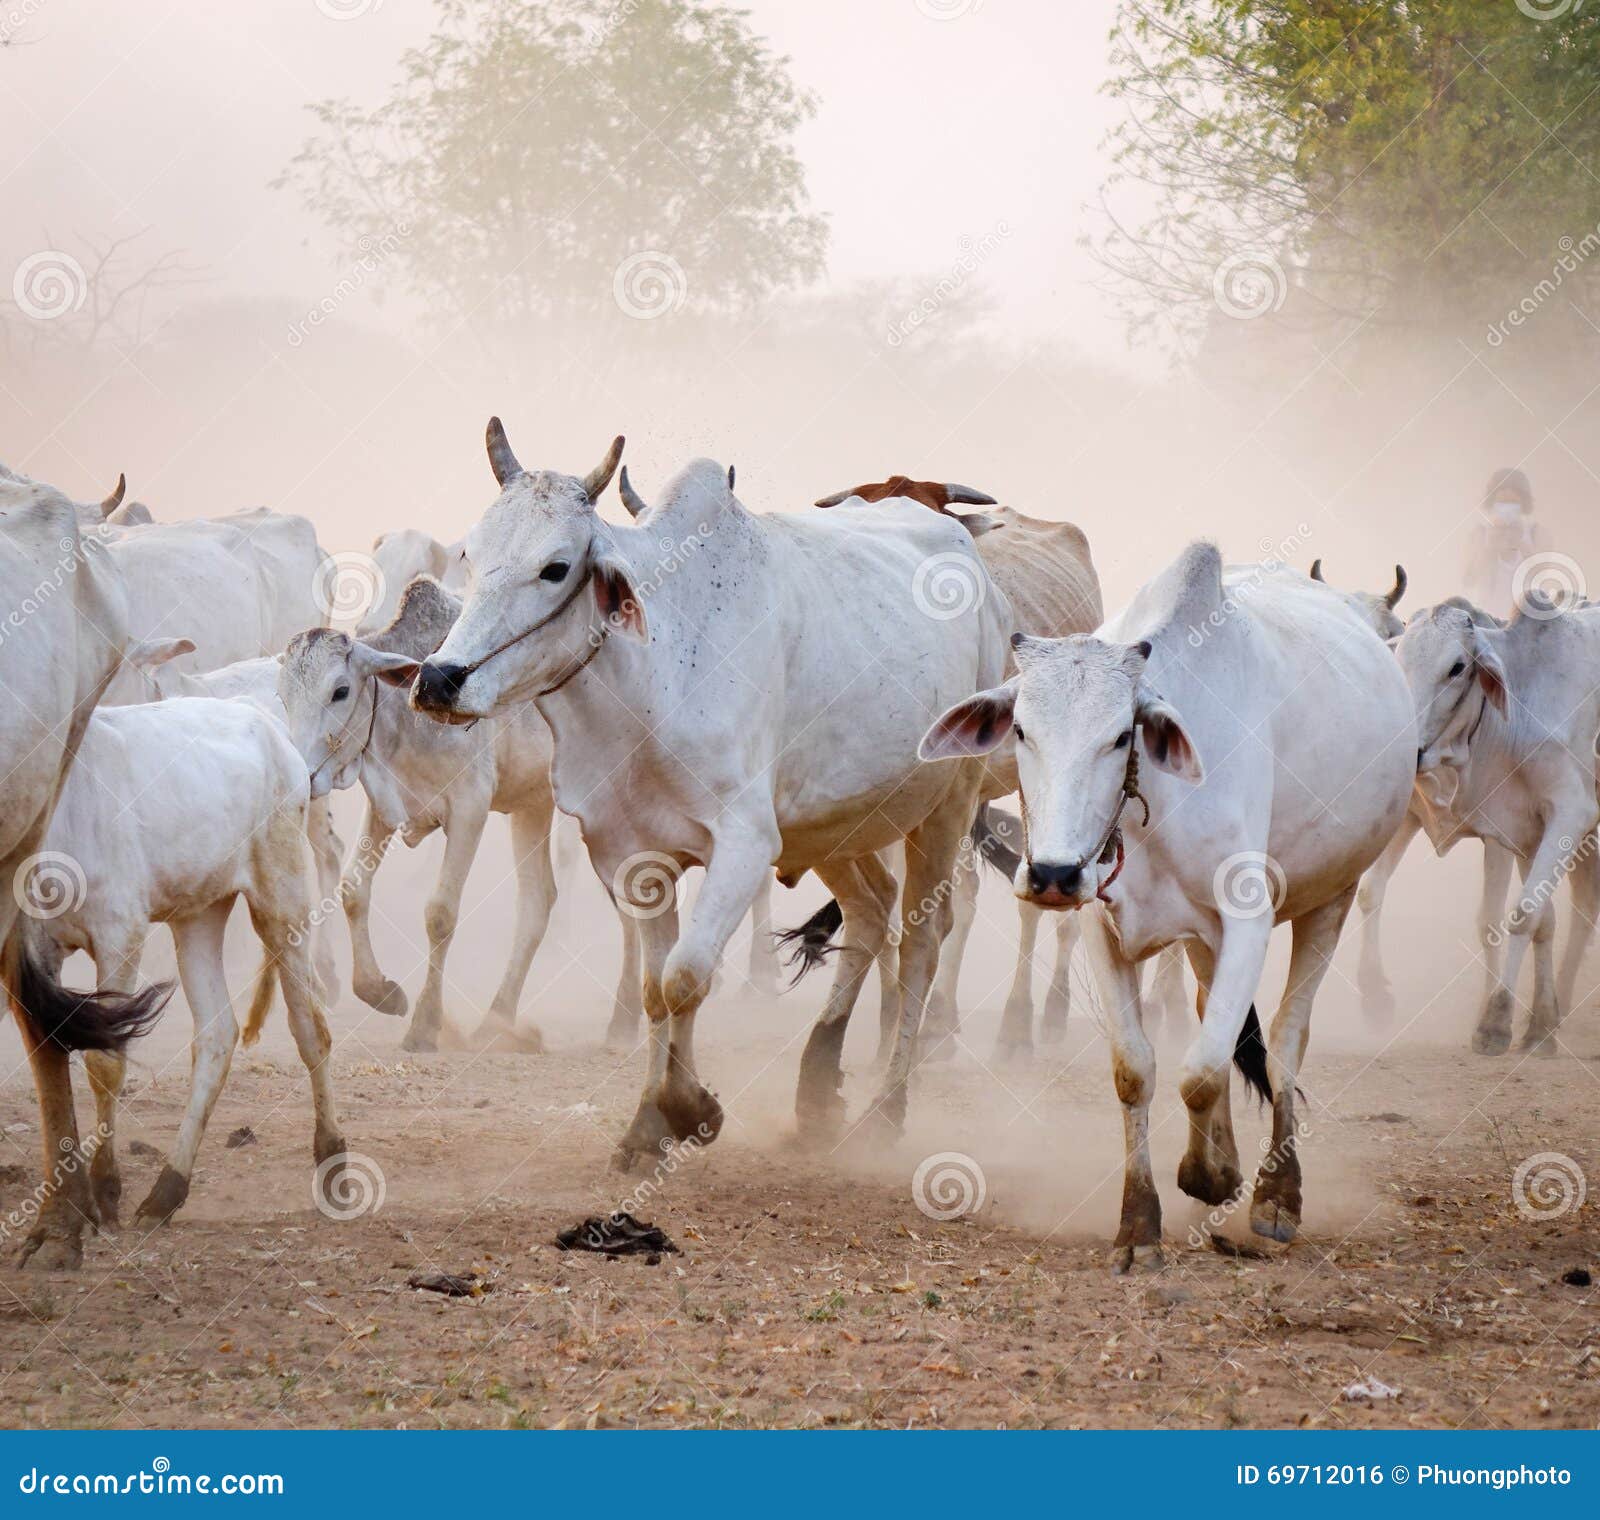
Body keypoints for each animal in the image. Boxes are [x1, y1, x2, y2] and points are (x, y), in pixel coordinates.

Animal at [34, 682, 349, 1224]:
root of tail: (266, 722)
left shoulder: (121, 933)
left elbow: (104, 1063)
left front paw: (106, 1185)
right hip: (197, 915)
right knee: (218, 1034)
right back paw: (168, 1187)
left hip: (282, 900)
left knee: (311, 1029)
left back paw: (331, 1155)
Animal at [404, 421, 1011, 1167]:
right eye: (471, 553)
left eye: (555, 567)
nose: (439, 679)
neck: (651, 671)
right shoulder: (630, 854)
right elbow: (654, 989)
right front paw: (648, 1123)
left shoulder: (745, 844)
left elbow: (686, 976)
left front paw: (690, 1108)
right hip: (833, 825)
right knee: (872, 911)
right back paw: (816, 1086)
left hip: (947, 803)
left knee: (922, 937)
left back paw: (885, 1111)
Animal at [920, 543, 1416, 1269]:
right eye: (1020, 731)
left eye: (1122, 736)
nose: (1053, 873)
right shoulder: (1102, 927)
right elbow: (1139, 1071)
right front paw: (1141, 1222)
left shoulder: (1247, 922)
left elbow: (1204, 1070)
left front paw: (1212, 1179)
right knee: (1219, 1017)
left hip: (1334, 896)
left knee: (1284, 1043)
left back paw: (1276, 1194)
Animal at [1393, 597, 1600, 1054]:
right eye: (1400, 660)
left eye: (1457, 667)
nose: (1409, 752)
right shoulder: (1524, 830)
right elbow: (1543, 921)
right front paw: (1541, 1025)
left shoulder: (1571, 814)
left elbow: (1523, 915)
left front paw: (1496, 1022)